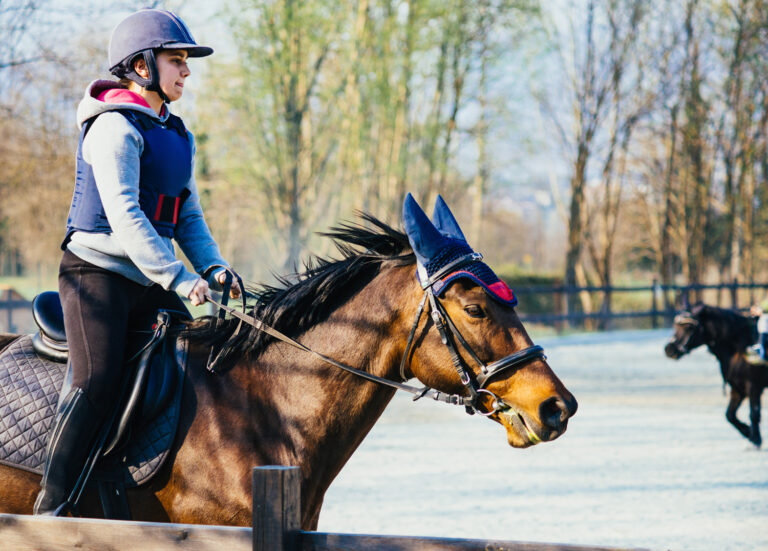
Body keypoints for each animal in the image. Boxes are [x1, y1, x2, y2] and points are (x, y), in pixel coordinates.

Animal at [664, 302, 768, 447]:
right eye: (676, 326)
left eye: (689, 327)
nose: (669, 349)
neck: (741, 347)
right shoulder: (738, 388)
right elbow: (730, 415)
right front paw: (747, 431)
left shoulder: (754, 386)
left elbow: (754, 413)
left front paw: (755, 440)